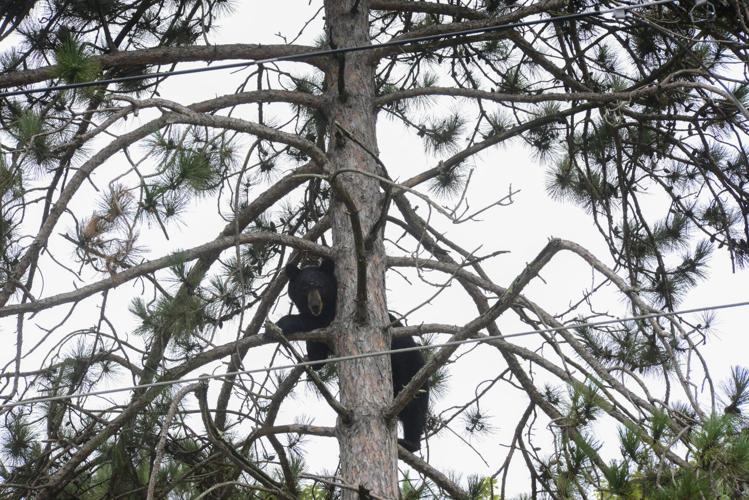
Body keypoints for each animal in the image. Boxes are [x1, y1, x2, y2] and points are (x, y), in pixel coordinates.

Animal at [275, 257, 430, 452]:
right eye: (303, 288)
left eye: (320, 286)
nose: (315, 305)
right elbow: (318, 355)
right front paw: (312, 358)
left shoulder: (337, 314)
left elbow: (319, 321)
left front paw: (284, 322)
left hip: (411, 371)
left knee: (415, 409)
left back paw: (409, 442)